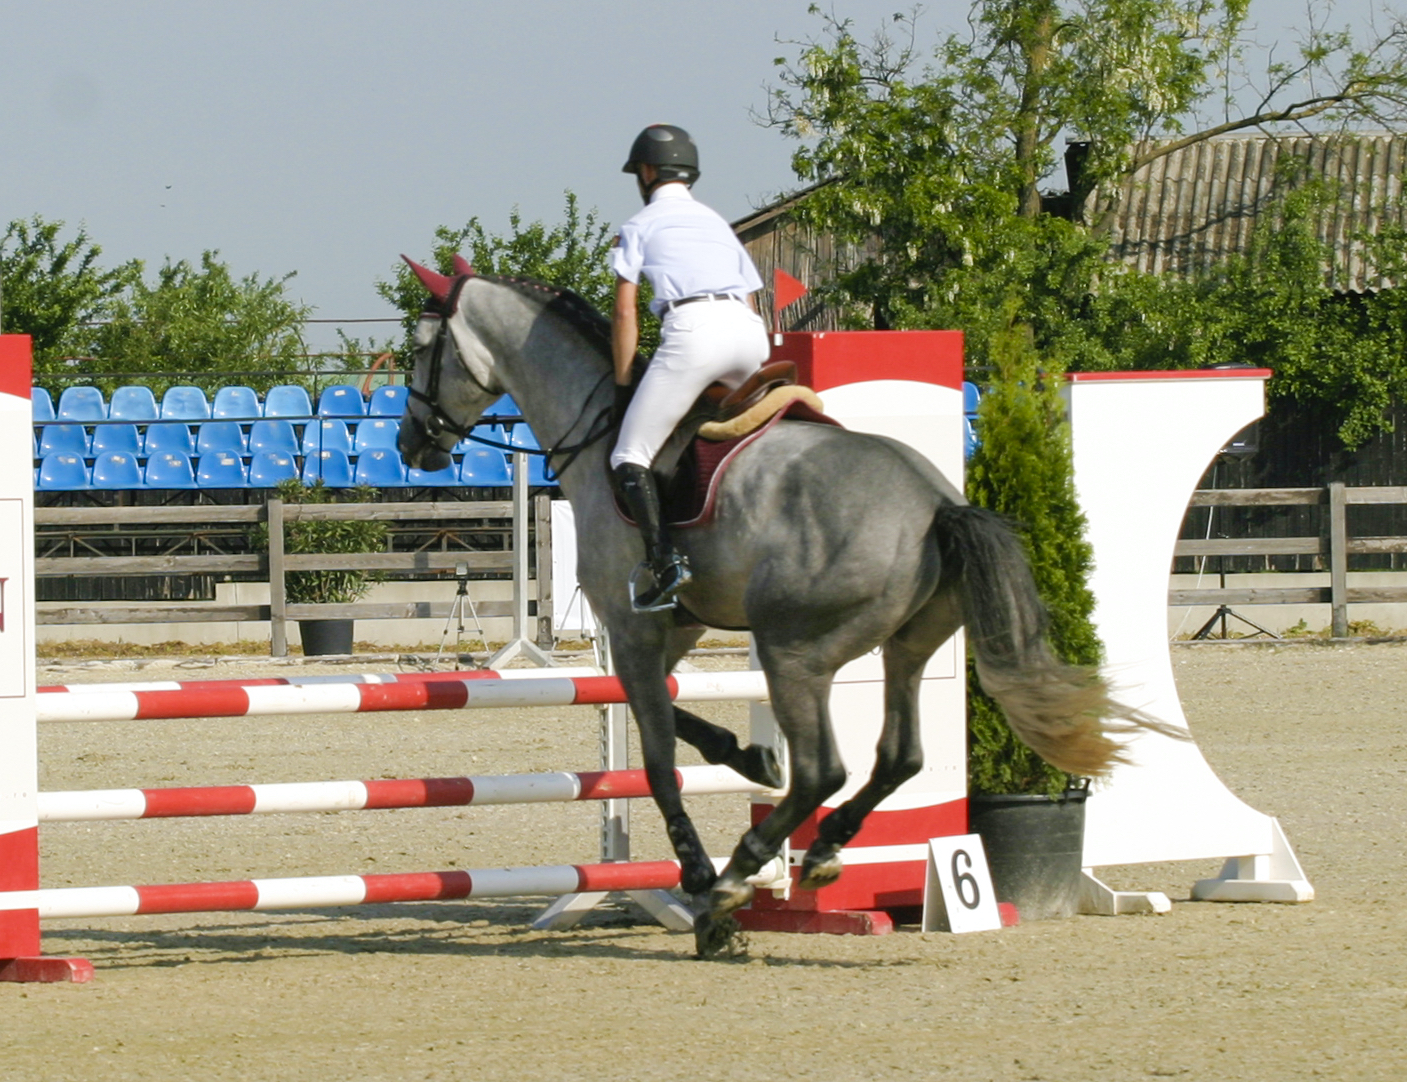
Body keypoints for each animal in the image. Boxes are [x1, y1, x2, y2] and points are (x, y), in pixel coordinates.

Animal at [396, 258, 1169, 957]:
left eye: (421, 346)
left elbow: (657, 756)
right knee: (900, 756)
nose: (411, 444)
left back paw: (737, 877)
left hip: (792, 652)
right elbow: (674, 715)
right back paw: (821, 849)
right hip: (907, 646)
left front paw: (702, 880)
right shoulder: (678, 627)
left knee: (824, 770)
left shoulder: (635, 627)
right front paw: (747, 756)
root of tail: (935, 504)